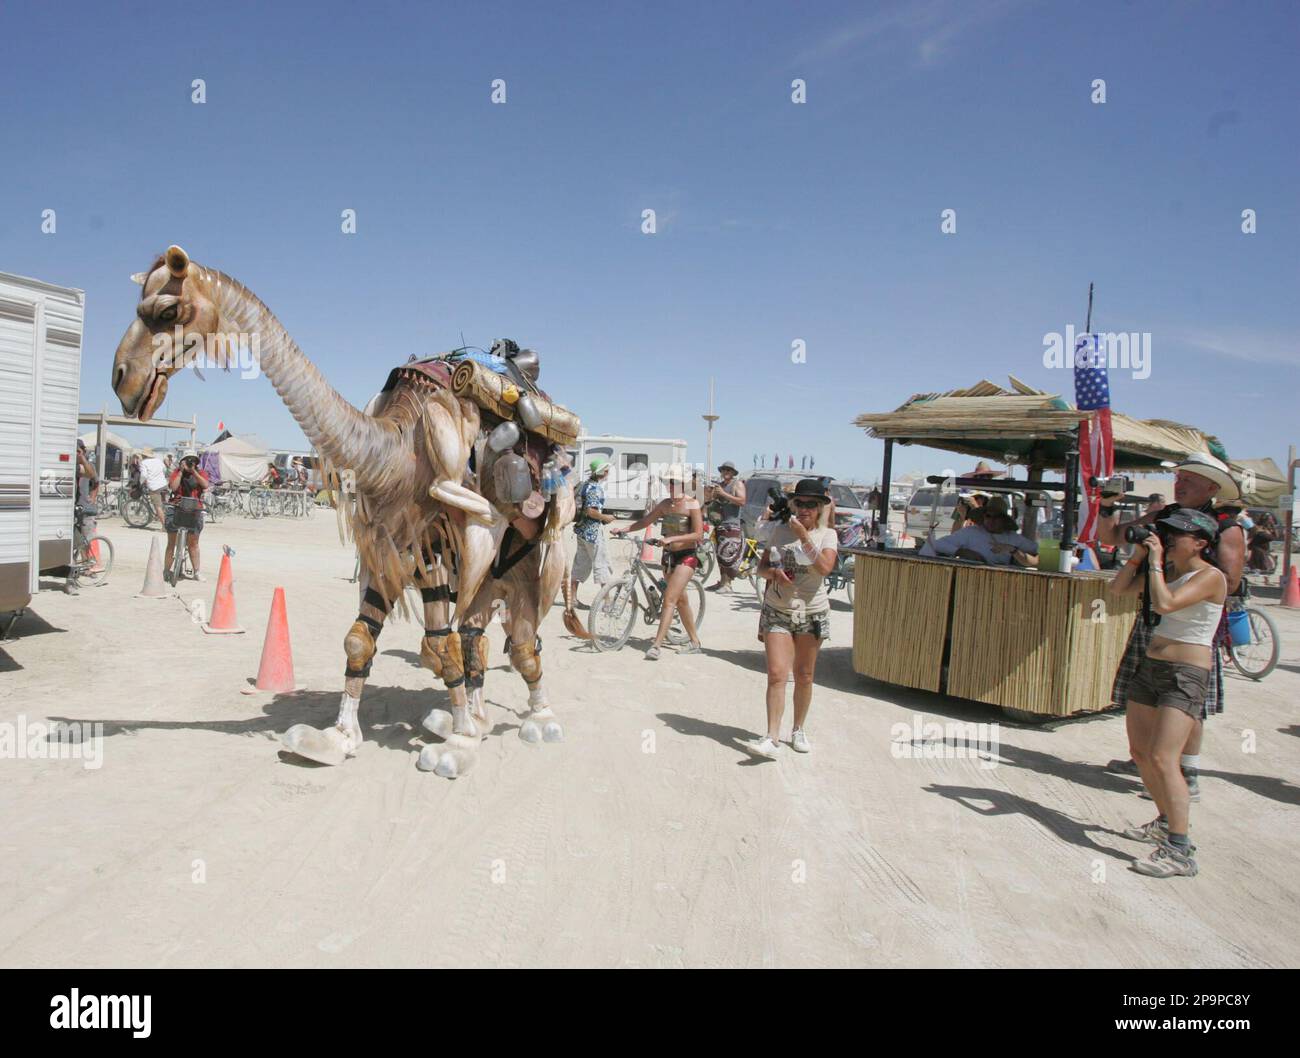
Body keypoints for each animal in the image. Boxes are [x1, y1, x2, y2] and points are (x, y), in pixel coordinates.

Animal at [110, 246, 577, 777]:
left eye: (168, 311)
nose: (122, 379)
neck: (395, 452)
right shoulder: (388, 547)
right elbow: (364, 639)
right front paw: (335, 739)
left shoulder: (436, 544)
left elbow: (441, 646)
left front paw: (456, 750)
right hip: (487, 575)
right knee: (476, 633)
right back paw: (469, 718)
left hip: (531, 556)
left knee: (520, 642)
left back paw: (538, 720)